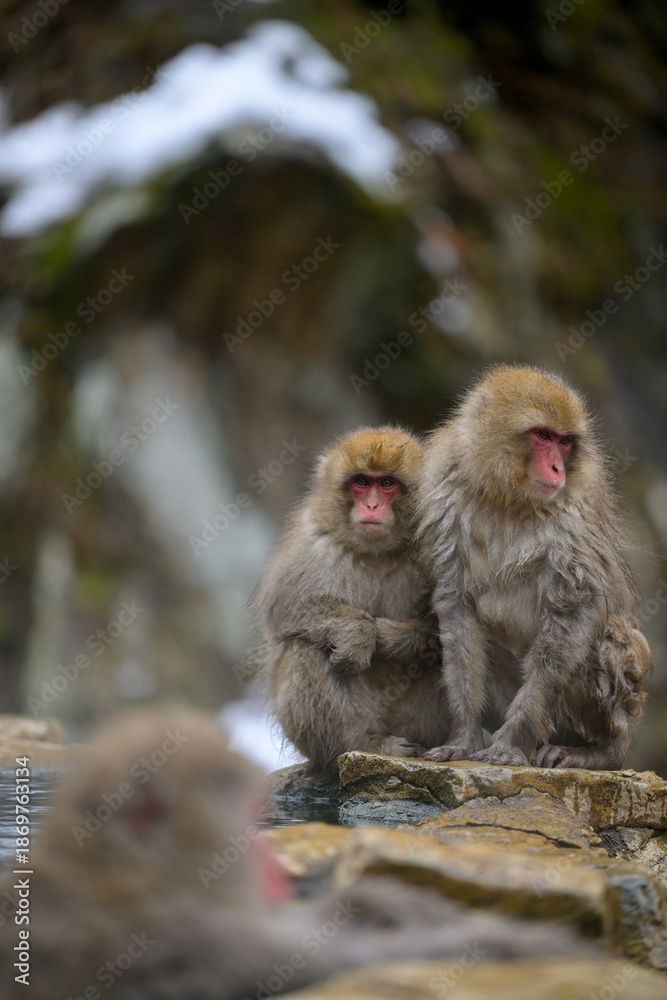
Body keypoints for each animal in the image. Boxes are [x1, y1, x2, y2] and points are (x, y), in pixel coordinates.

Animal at [252, 426, 451, 779]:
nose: (371, 505)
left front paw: (389, 637)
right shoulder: (314, 543)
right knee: (306, 647)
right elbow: (287, 610)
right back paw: (366, 747)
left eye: (386, 484)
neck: (378, 552)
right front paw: (360, 633)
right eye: (361, 481)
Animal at [418, 364, 651, 770]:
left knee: (609, 641)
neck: (507, 497)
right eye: (543, 436)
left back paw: (597, 752)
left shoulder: (572, 517)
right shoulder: (445, 501)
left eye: (565, 441)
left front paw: (511, 742)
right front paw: (463, 736)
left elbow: (572, 614)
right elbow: (457, 610)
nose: (557, 468)